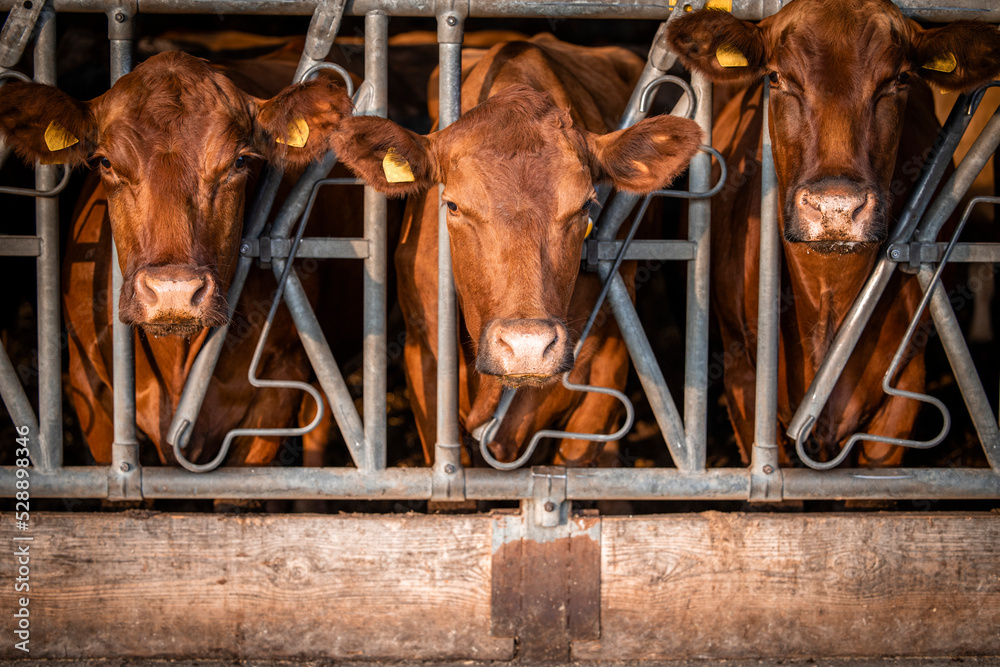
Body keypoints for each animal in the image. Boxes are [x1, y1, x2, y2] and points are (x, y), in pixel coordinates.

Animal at [667, 0, 1000, 465]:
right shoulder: (743, 380)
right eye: (776, 77)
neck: (827, 300)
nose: (836, 207)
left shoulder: (904, 390)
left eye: (899, 79)